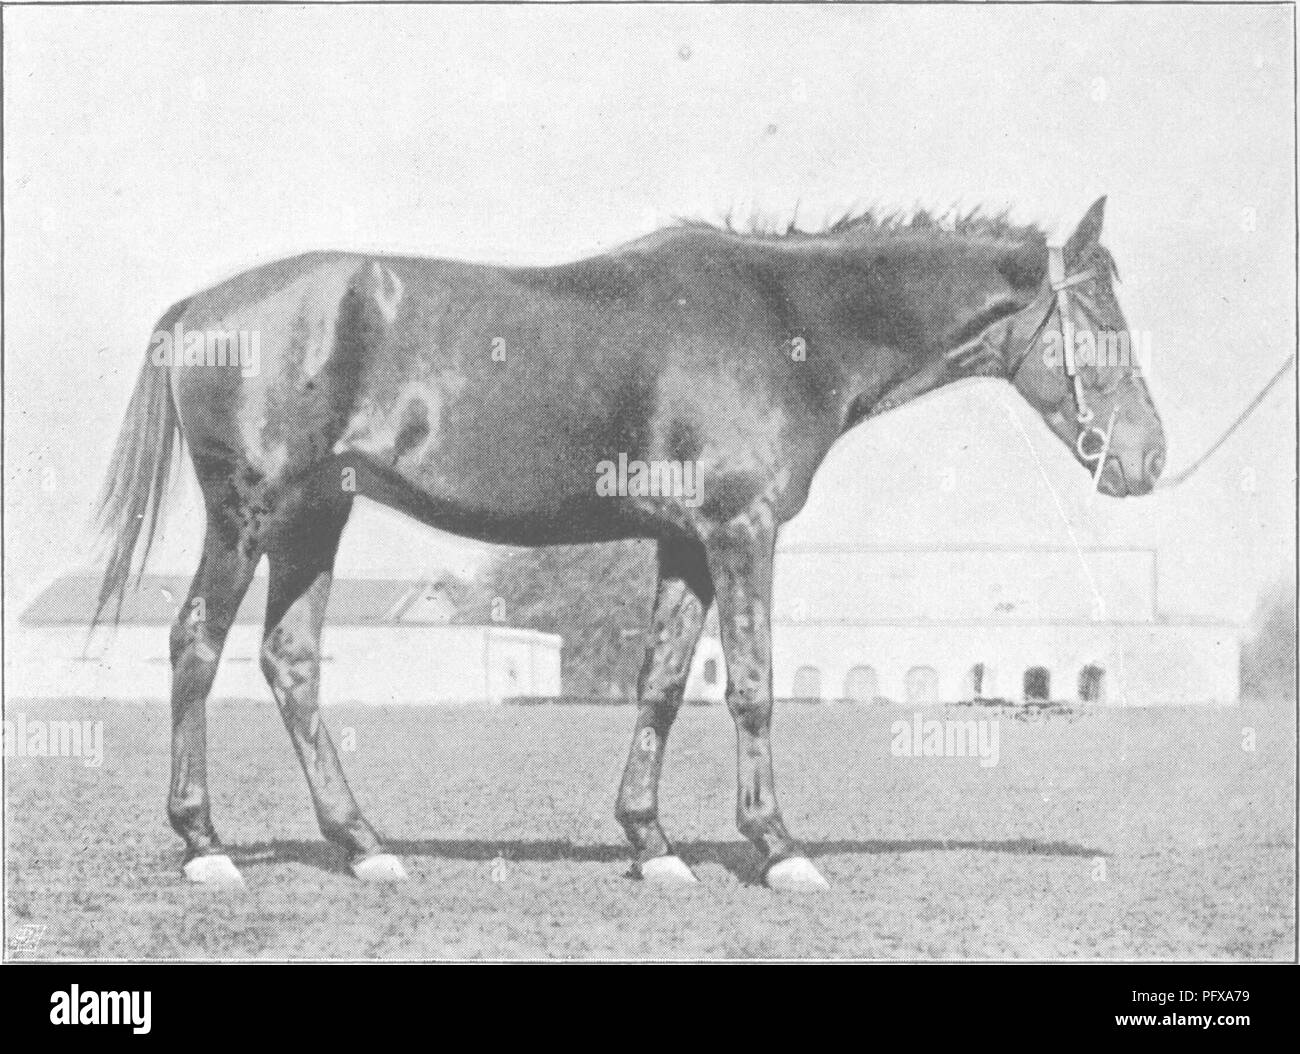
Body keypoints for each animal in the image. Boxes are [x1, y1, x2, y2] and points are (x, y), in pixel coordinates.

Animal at [93, 195, 1166, 890]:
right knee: (196, 644)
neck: (786, 323)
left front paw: (652, 845)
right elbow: (751, 685)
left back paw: (364, 845)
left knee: (291, 661)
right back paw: (206, 845)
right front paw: (779, 849)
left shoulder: (684, 546)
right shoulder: (739, 531)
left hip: (317, 519)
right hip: (250, 516)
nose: (1146, 459)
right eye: (1101, 318)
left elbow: (661, 682)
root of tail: (200, 307)